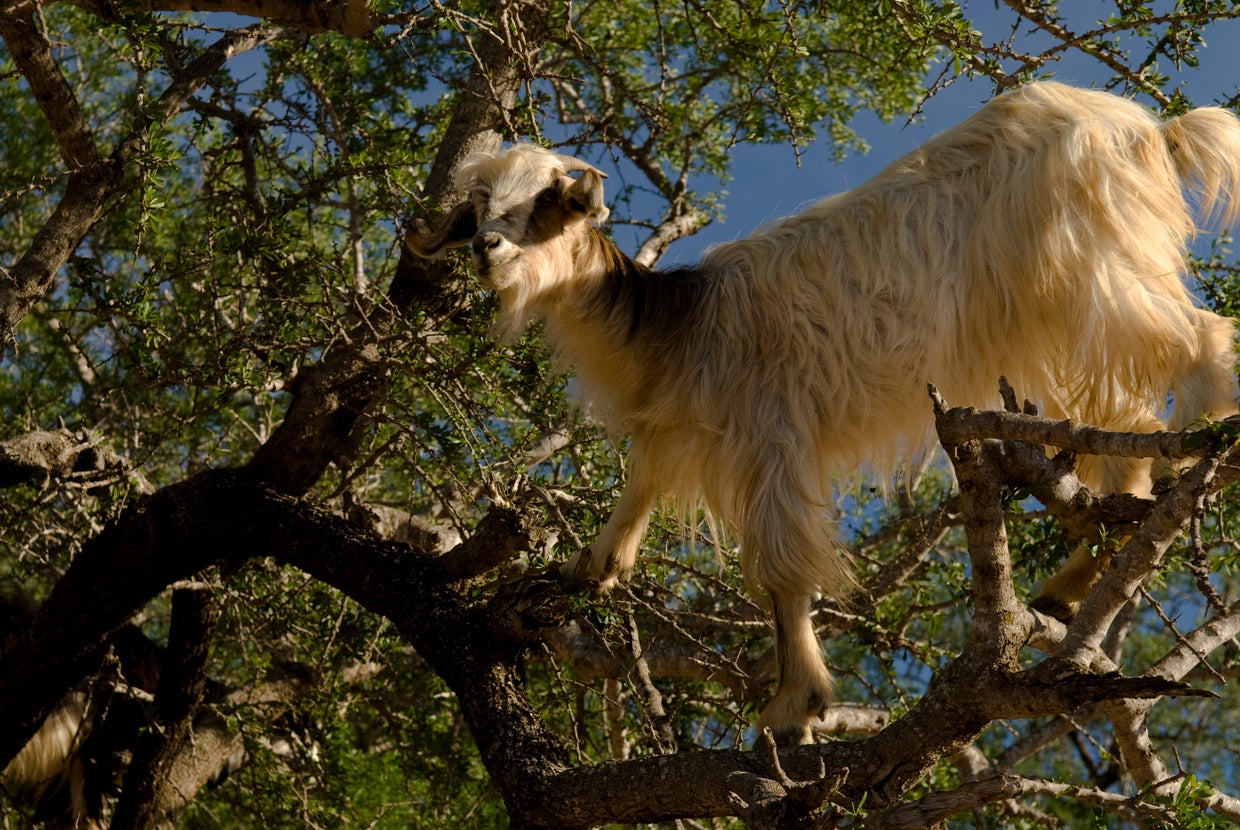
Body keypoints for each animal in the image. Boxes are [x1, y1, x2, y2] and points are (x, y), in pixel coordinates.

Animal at [406, 81, 1240, 745]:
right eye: (479, 203)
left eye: (549, 202)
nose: (485, 248)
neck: (680, 324)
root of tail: (1149, 128)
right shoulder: (687, 427)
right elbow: (640, 486)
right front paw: (595, 564)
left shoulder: (773, 436)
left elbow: (780, 576)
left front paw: (794, 707)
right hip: (1068, 332)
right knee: (1124, 440)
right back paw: (1067, 586)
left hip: (1102, 286)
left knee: (1198, 348)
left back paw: (1200, 447)